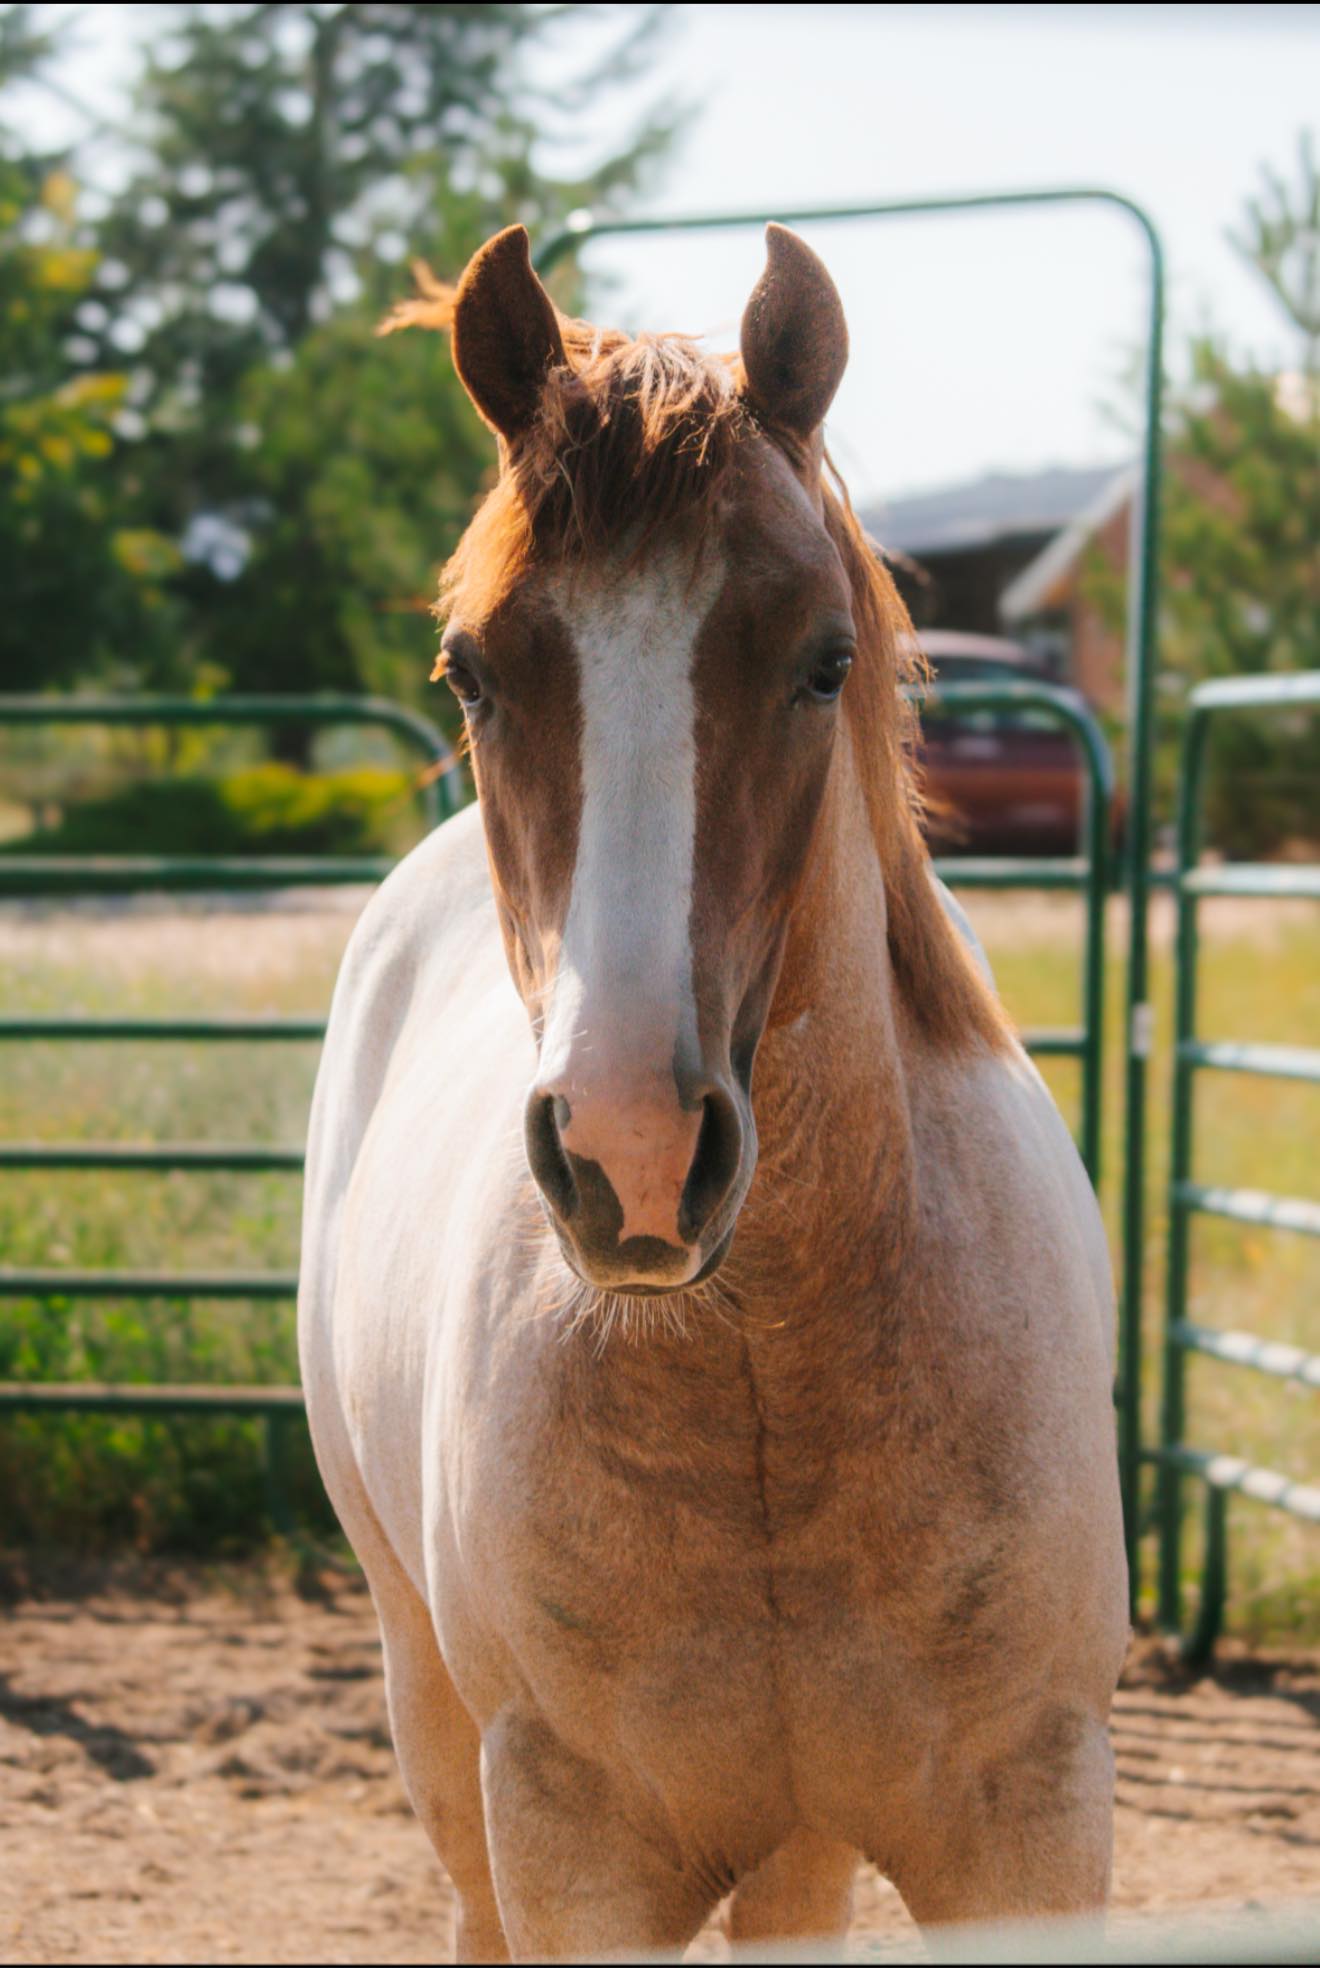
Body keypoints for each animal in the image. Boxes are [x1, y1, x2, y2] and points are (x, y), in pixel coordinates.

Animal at [298, 222, 1128, 1961]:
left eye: (824, 662)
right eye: (472, 674)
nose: (630, 1147)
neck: (773, 1374)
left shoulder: (1030, 1824)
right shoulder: (572, 1851)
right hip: (436, 1727)